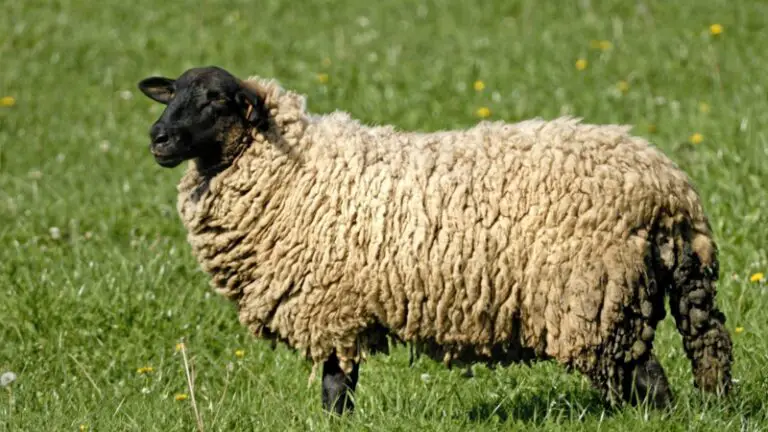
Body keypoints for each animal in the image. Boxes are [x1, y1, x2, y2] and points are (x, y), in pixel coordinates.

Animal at [136, 65, 733, 415]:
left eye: (216, 99)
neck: (291, 169)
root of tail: (671, 189)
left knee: (649, 382)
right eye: (171, 96)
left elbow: (335, 387)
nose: (158, 138)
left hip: (593, 296)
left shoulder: (331, 307)